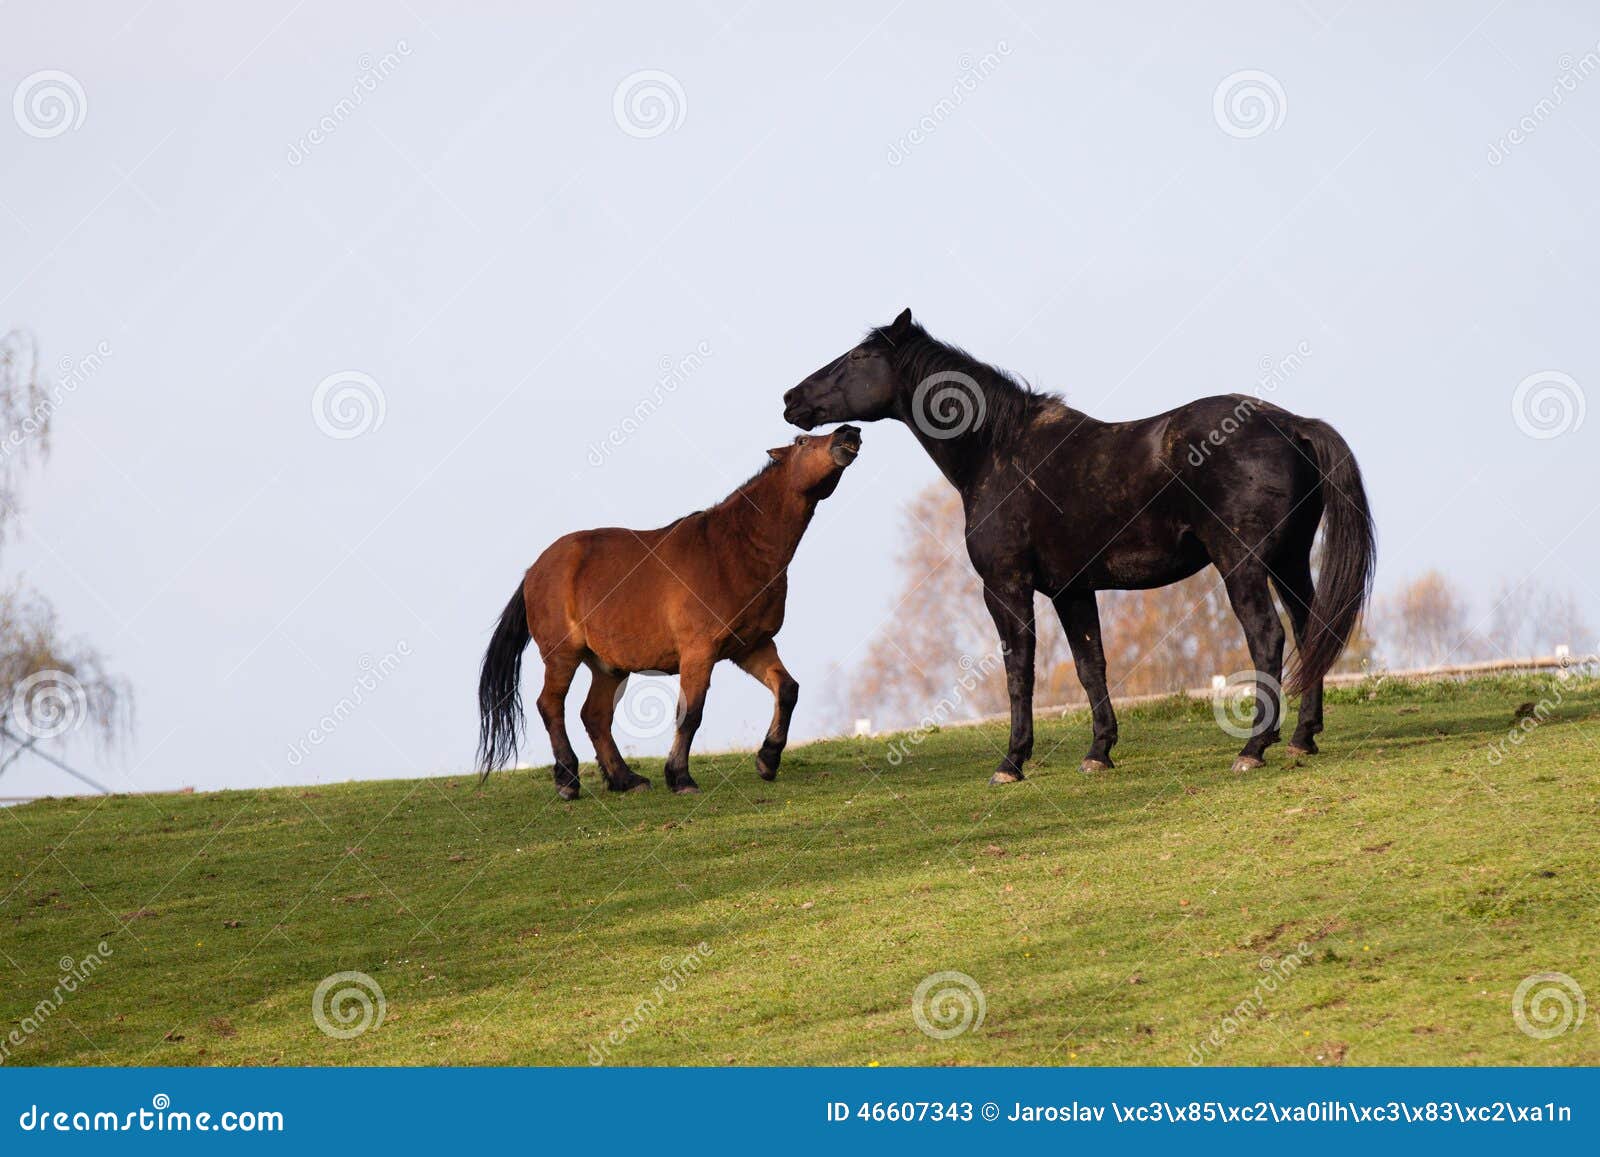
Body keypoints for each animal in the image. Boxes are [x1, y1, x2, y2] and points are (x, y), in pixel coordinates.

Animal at [476, 425, 862, 799]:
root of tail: (535, 569)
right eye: (802, 441)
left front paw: (767, 760)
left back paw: (626, 779)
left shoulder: (753, 647)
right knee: (551, 706)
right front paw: (680, 777)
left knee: (595, 715)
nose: (849, 432)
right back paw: (568, 781)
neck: (731, 550)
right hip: (562, 656)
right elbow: (690, 714)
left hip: (608, 666)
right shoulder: (699, 653)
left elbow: (787, 689)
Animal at [783, 310, 1374, 783]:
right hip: (1289, 561)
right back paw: (1301, 740)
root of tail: (1289, 424)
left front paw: (1012, 762)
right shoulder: (1072, 591)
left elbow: (1020, 673)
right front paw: (1099, 752)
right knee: (1310, 630)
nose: (791, 399)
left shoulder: (1006, 589)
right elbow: (1092, 666)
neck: (996, 450)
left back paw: (1253, 748)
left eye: (860, 356)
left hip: (1244, 566)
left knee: (1268, 637)